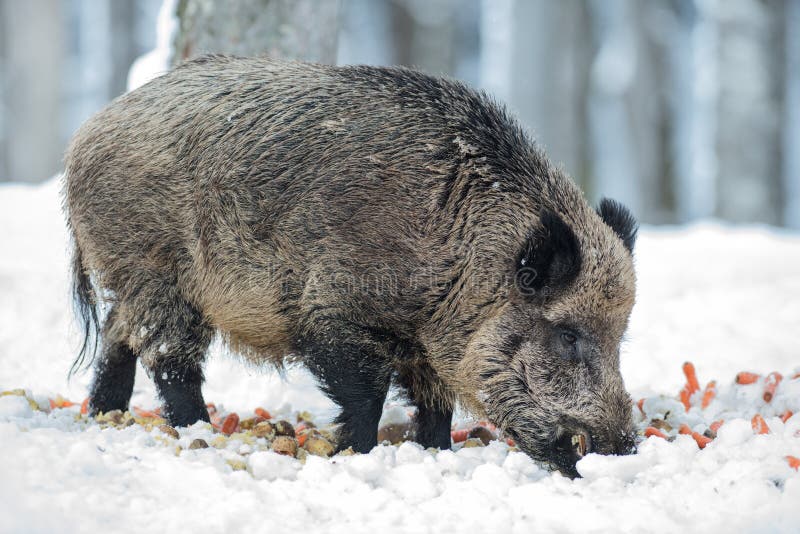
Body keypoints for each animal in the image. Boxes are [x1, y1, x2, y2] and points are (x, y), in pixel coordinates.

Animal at [64, 55, 638, 477]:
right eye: (567, 334)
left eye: (620, 339)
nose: (622, 448)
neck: (459, 255)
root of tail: (85, 136)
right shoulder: (337, 311)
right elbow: (366, 394)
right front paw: (356, 451)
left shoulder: (425, 344)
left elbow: (435, 402)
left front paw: (435, 450)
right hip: (155, 270)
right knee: (166, 354)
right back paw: (194, 429)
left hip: (133, 279)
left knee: (118, 333)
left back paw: (105, 413)